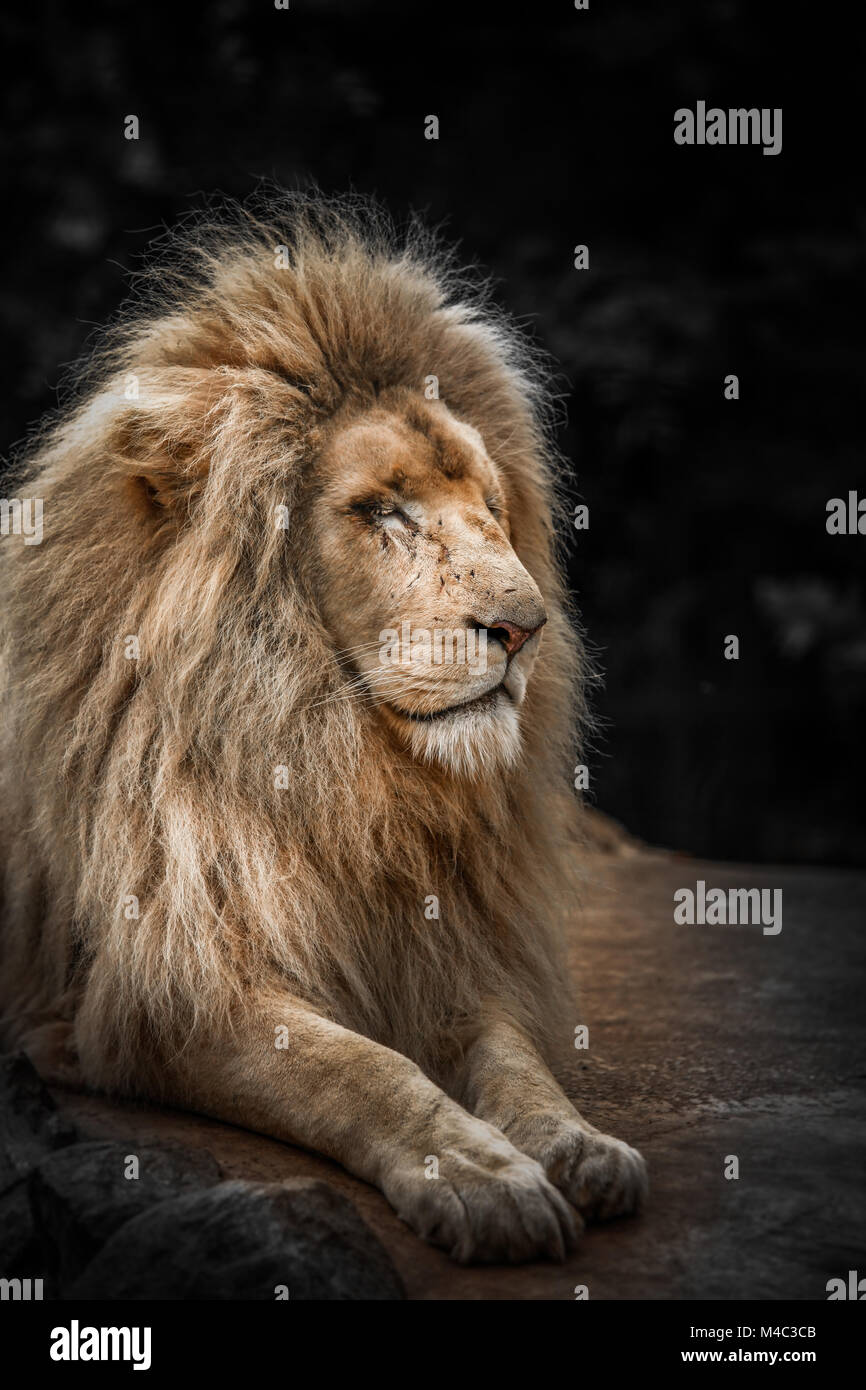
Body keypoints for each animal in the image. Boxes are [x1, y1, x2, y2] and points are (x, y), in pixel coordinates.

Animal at [0, 193, 646, 1263]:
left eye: (494, 507)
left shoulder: (445, 949)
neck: (335, 770)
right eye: (384, 512)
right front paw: (480, 1177)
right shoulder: (157, 995)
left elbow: (517, 1063)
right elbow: (362, 1073)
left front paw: (577, 1144)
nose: (526, 628)